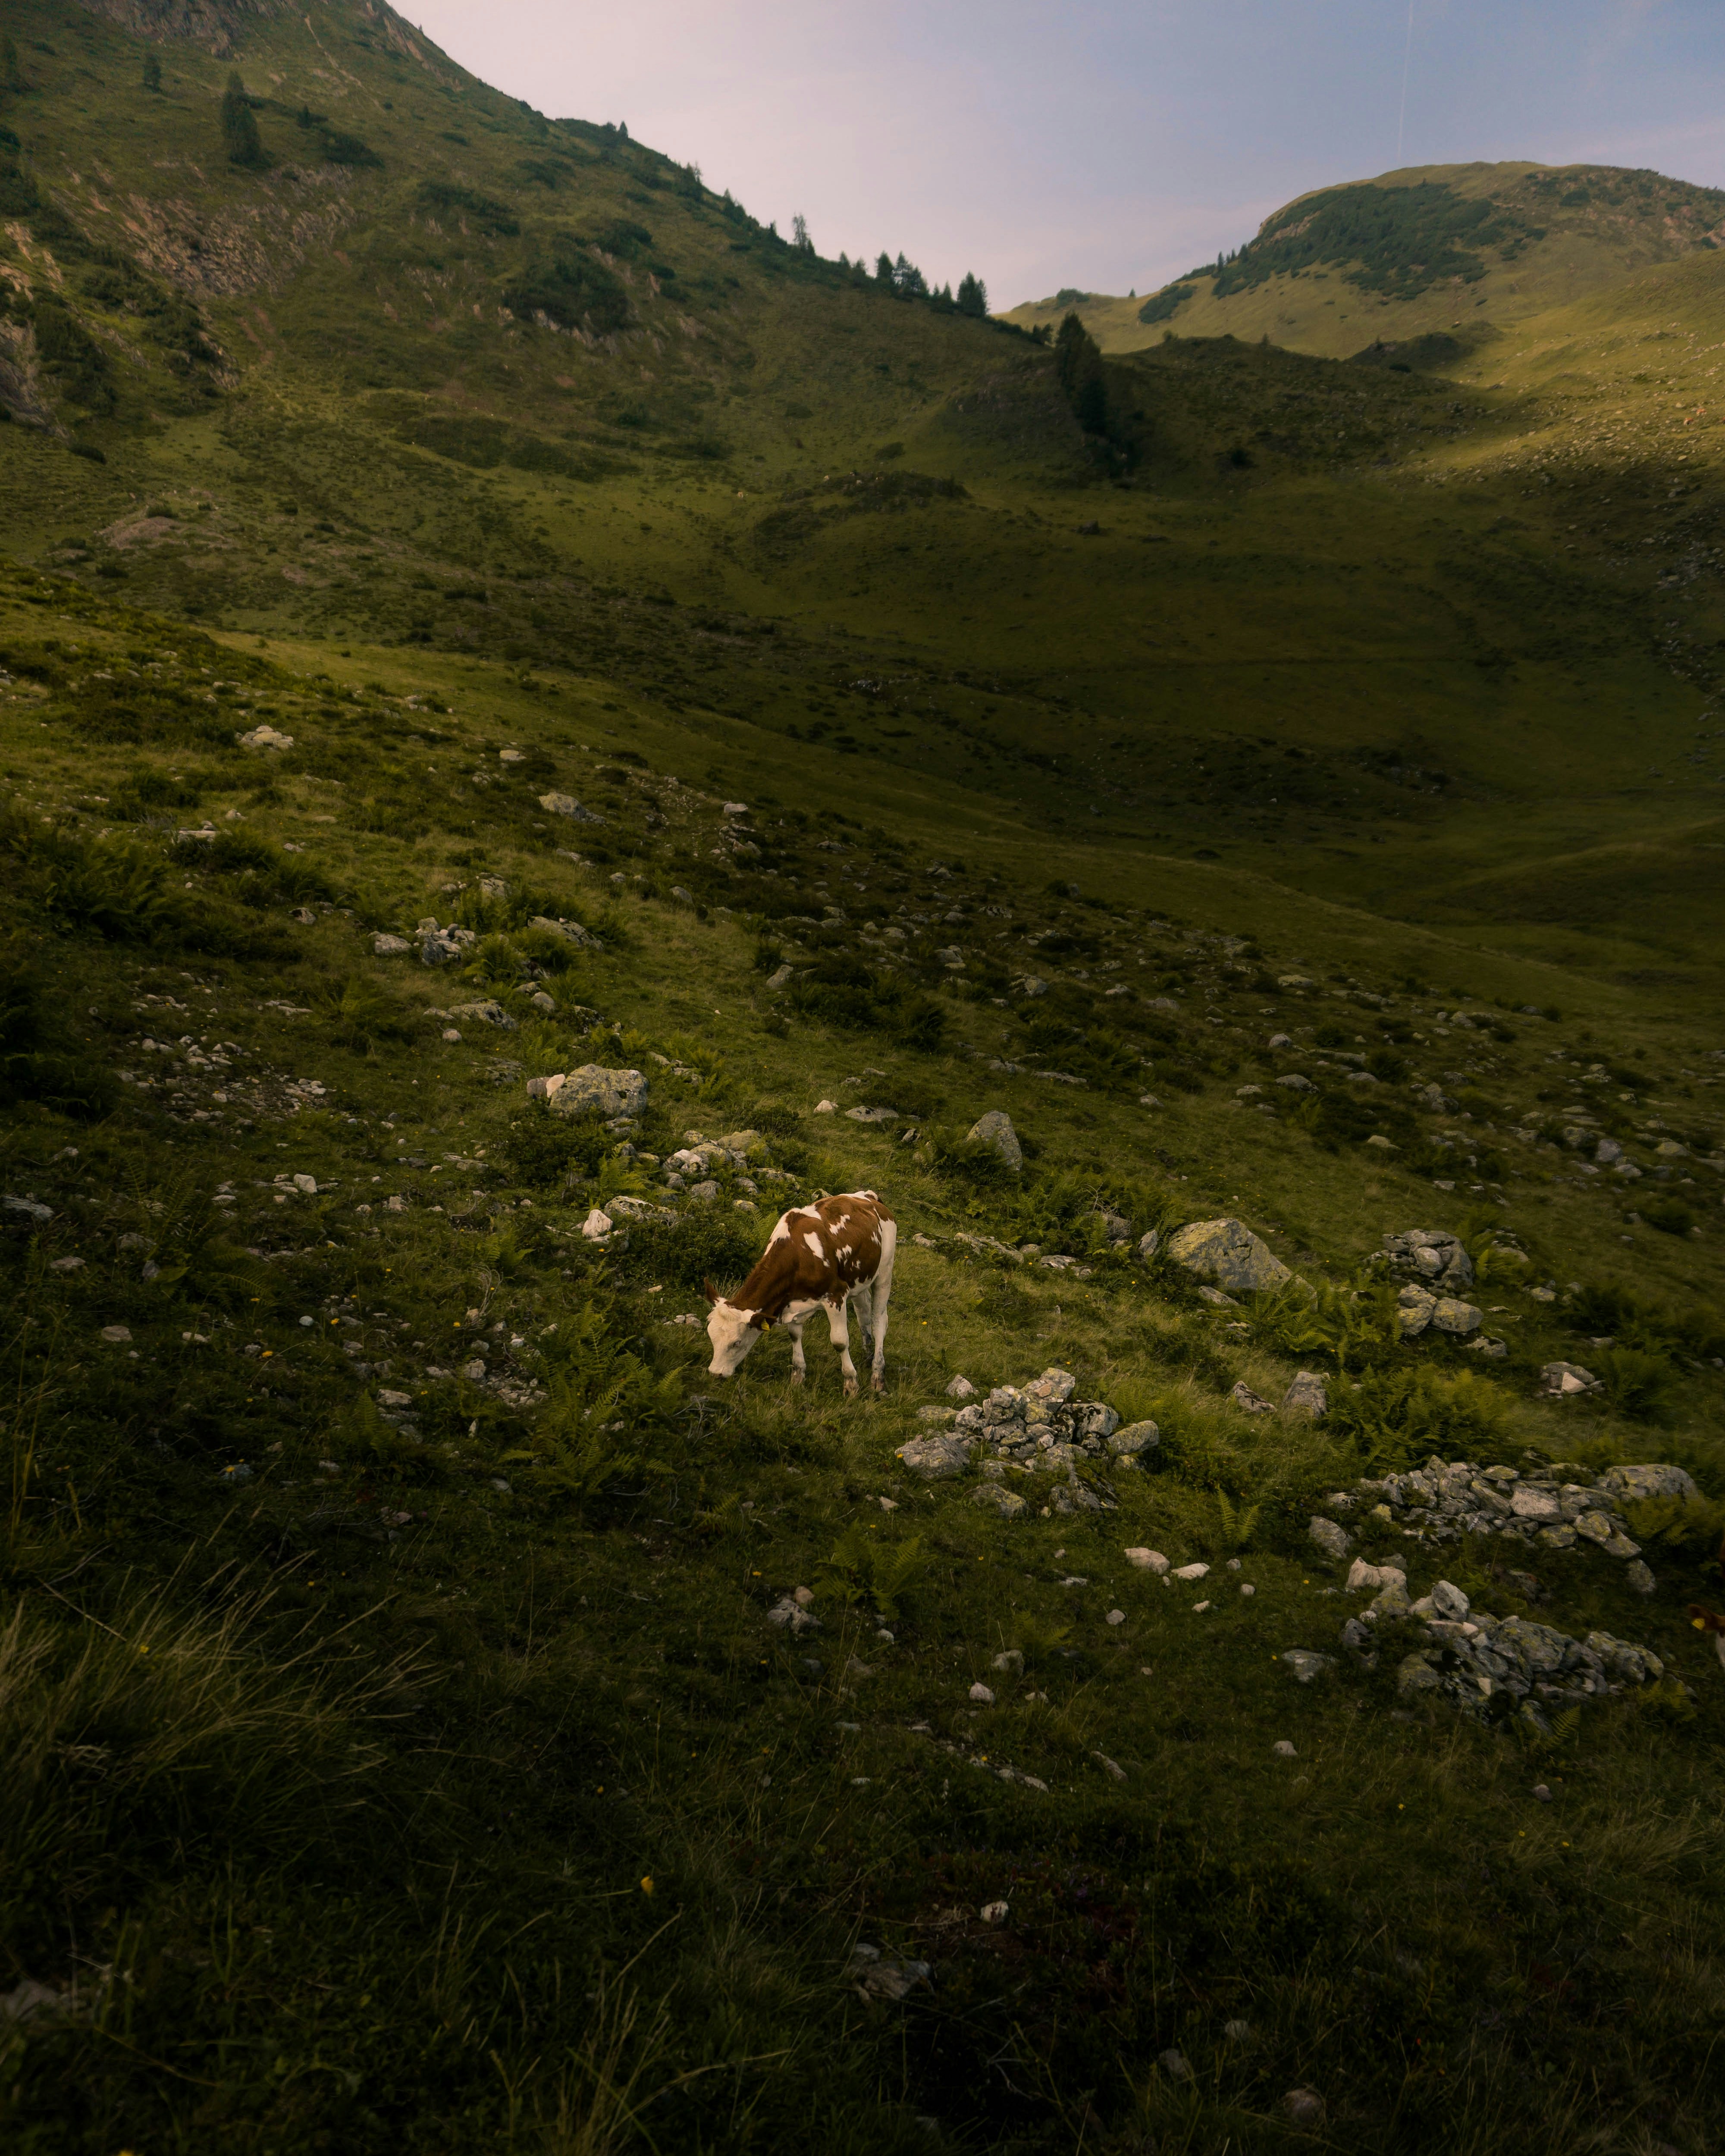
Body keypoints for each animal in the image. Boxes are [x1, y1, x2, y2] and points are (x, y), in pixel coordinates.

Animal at [704, 1190, 897, 1396]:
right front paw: (797, 1377)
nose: (715, 1373)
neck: (798, 1254)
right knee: (863, 1315)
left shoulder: (836, 1295)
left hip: (885, 1271)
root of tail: (868, 1195)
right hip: (859, 1280)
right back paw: (867, 1355)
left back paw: (877, 1374)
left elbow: (840, 1342)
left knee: (879, 1320)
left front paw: (851, 1383)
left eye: (736, 1343)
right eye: (711, 1336)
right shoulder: (793, 1302)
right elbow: (795, 1335)